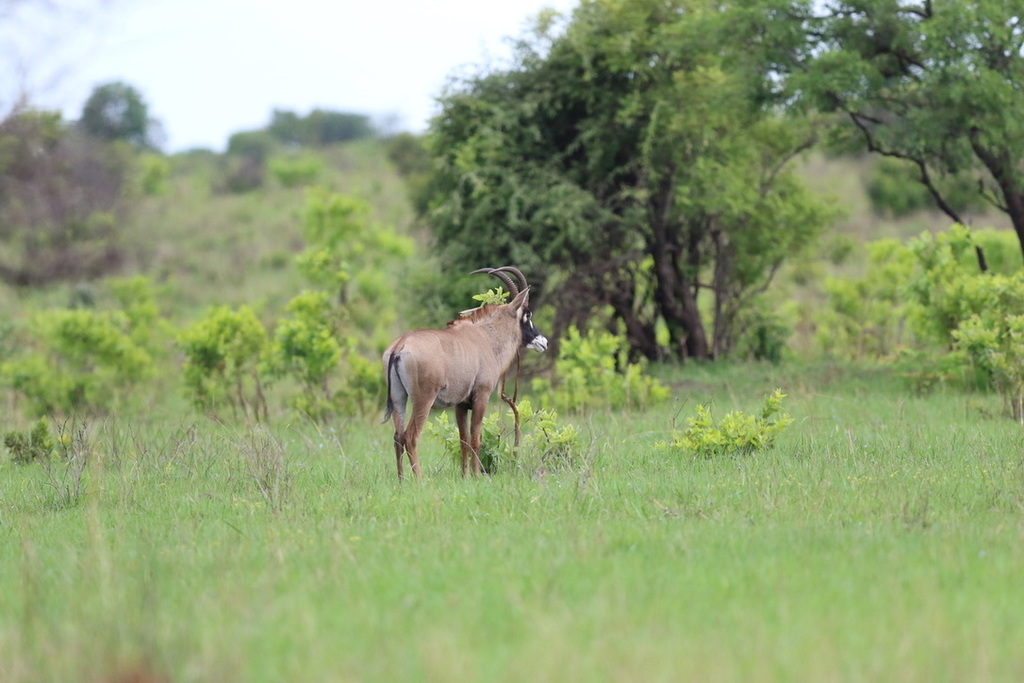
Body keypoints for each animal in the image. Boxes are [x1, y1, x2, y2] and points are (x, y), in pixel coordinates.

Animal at [382, 267, 548, 480]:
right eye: (527, 315)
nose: (543, 342)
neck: (486, 337)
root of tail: (400, 345)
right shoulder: (481, 396)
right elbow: (476, 438)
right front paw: (477, 476)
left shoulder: (460, 404)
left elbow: (464, 439)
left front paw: (465, 476)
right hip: (423, 400)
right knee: (410, 437)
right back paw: (420, 480)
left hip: (398, 398)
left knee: (397, 437)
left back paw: (402, 479)